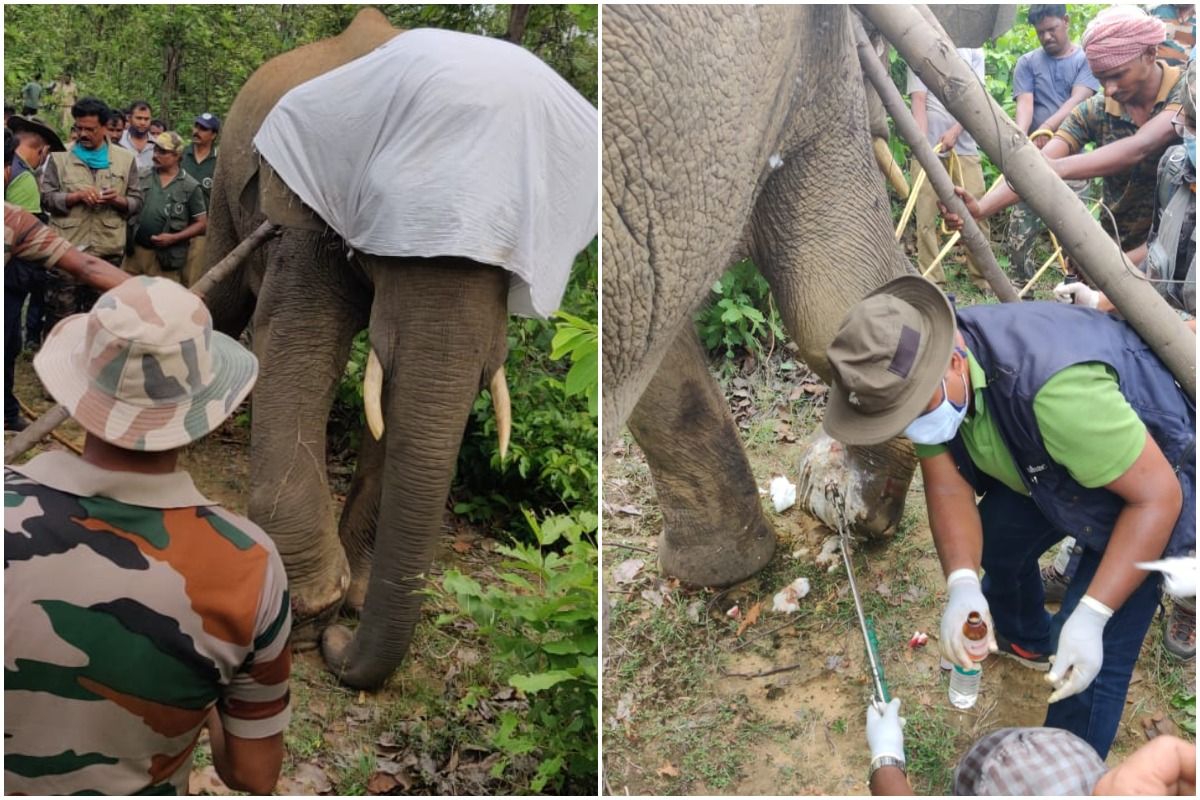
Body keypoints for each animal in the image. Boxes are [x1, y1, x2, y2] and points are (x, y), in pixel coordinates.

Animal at [201, 8, 596, 689]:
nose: (337, 646)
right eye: (388, 232)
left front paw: (353, 601)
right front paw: (309, 611)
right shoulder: (307, 217)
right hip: (227, 175)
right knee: (223, 302)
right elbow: (301, 348)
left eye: (515, 265)